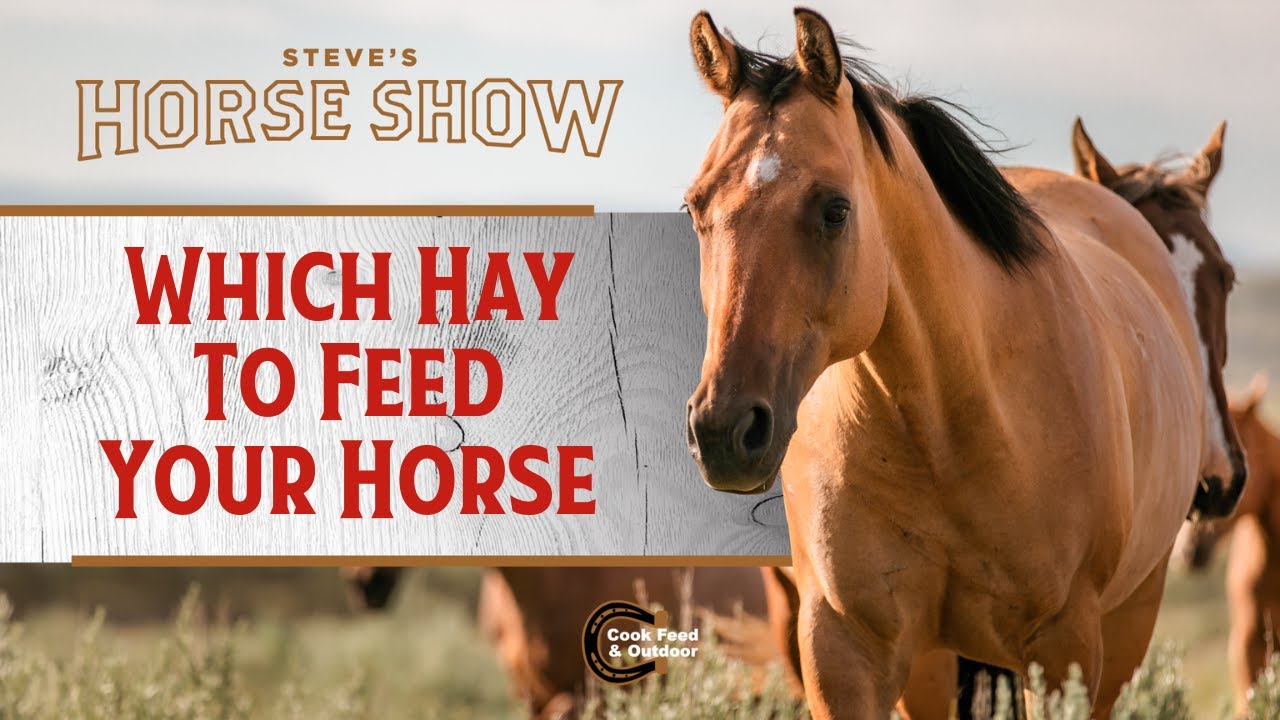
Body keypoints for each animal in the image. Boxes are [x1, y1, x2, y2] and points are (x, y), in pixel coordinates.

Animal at [683, 9, 1218, 718]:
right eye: (695, 206)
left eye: (835, 209)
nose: (724, 430)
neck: (945, 431)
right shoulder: (843, 647)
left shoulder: (1065, 645)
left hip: (1128, 623)